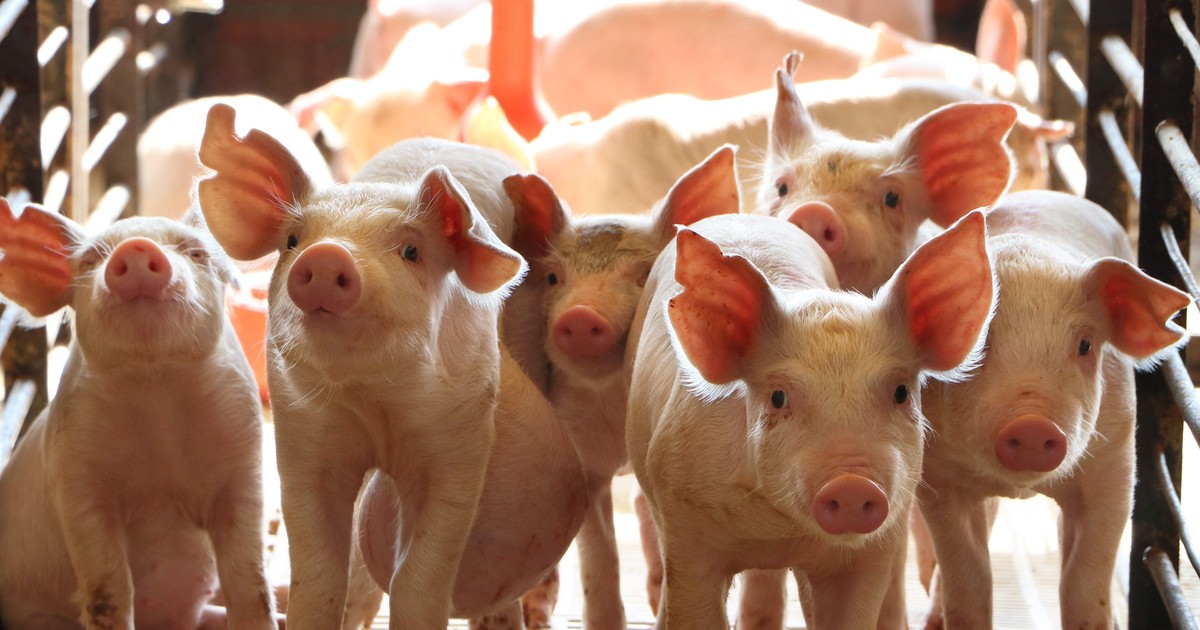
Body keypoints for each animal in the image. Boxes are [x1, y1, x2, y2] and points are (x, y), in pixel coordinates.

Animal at [0, 200, 275, 629]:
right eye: (91, 260)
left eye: (196, 252)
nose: (135, 247)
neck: (156, 394)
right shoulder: (75, 477)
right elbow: (109, 588)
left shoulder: (244, 465)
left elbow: (250, 582)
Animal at [196, 103, 588, 629]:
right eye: (293, 241)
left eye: (411, 251)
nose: (326, 255)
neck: (375, 402)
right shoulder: (302, 434)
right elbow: (319, 580)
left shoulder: (460, 442)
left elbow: (418, 583)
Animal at [624, 209, 996, 629]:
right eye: (778, 397)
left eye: (901, 392)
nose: (852, 485)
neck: (779, 532)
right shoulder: (686, 532)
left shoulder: (873, 549)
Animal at [914, 190, 1190, 629]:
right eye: (977, 345)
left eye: (1085, 345)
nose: (1032, 426)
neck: (1022, 488)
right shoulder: (940, 478)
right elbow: (970, 582)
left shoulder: (1114, 464)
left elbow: (1083, 584)